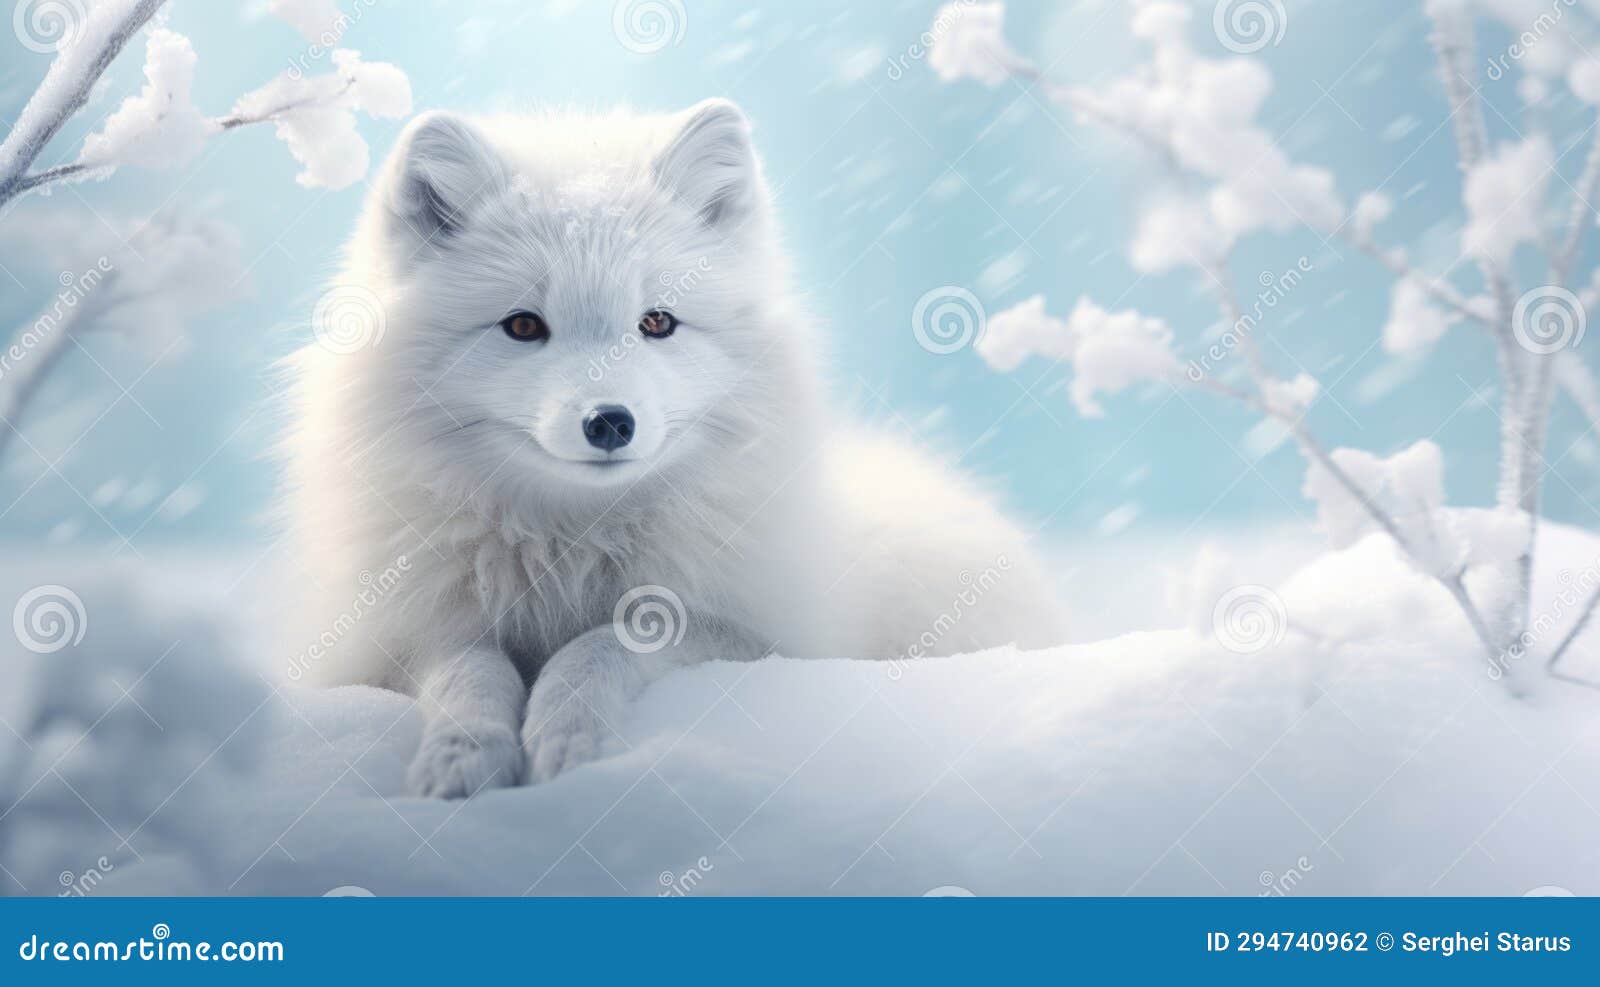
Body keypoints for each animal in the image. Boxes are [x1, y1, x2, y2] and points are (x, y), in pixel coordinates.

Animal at [280, 100, 1063, 798]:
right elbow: (469, 669)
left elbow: (604, 643)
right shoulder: (396, 636)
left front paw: (565, 739)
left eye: (657, 321)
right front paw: (463, 753)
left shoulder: (753, 633)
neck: (570, 541)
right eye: (524, 326)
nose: (610, 422)